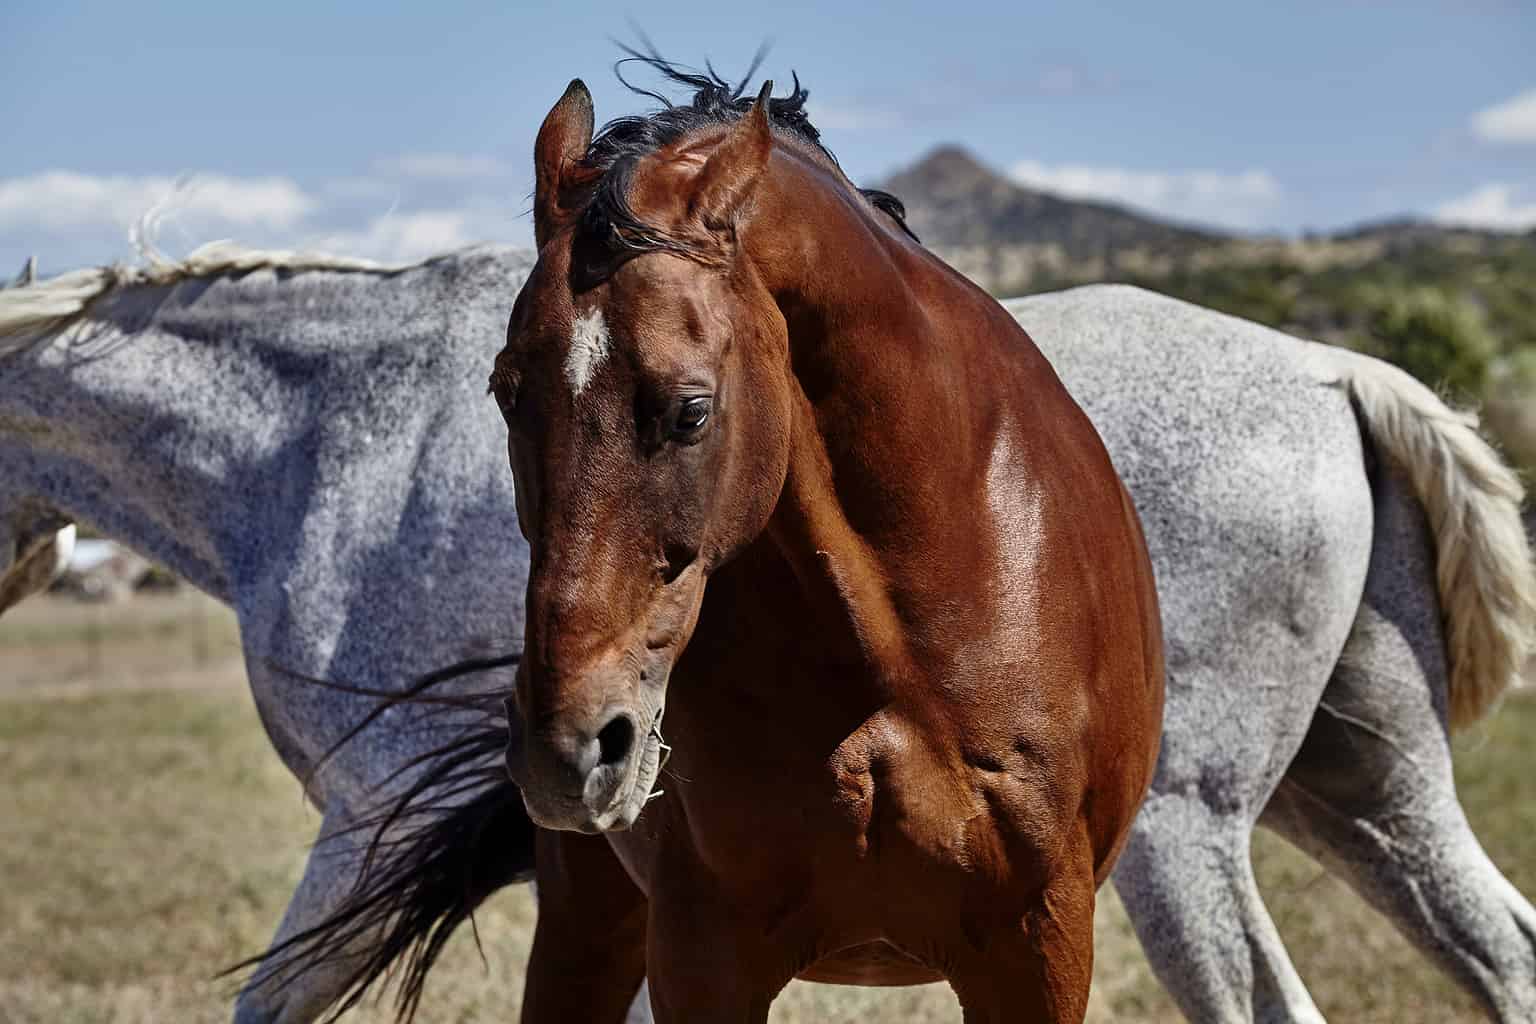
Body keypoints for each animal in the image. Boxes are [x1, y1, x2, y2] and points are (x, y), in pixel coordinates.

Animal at [2, 241, 1533, 1018]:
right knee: (1502, 950)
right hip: (1367, 797)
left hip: (1180, 843)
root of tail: (1331, 368)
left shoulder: (367, 823)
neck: (332, 430)